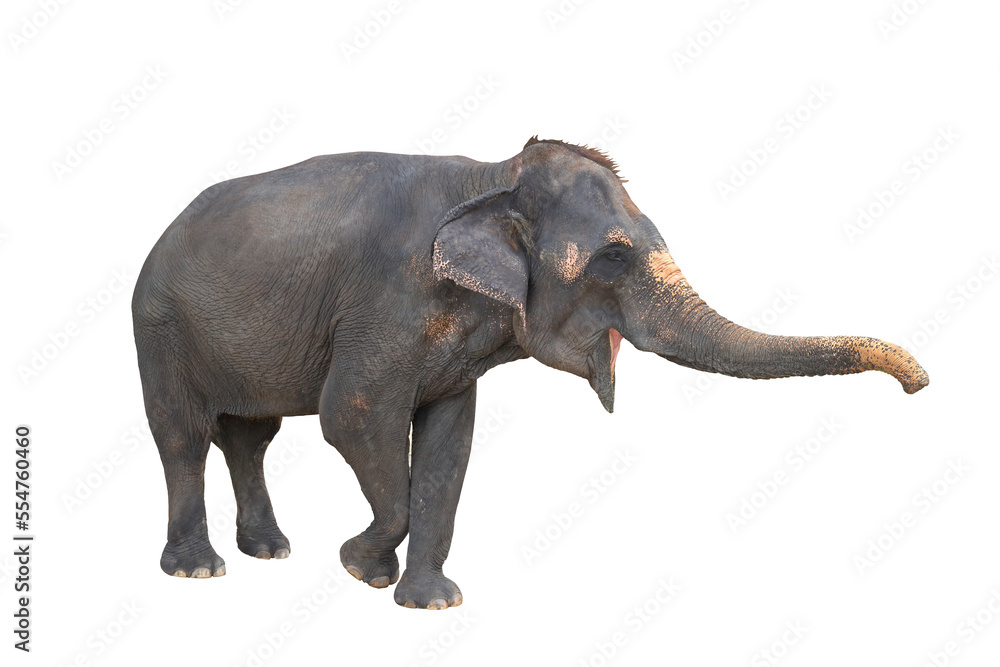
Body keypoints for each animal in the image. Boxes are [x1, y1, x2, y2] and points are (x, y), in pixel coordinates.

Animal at [132, 137, 928, 609]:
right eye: (613, 258)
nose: (919, 383)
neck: (492, 178)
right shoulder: (386, 302)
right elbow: (353, 415)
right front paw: (362, 568)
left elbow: (449, 443)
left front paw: (429, 602)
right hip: (160, 325)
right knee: (184, 436)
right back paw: (200, 571)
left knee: (249, 435)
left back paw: (271, 551)